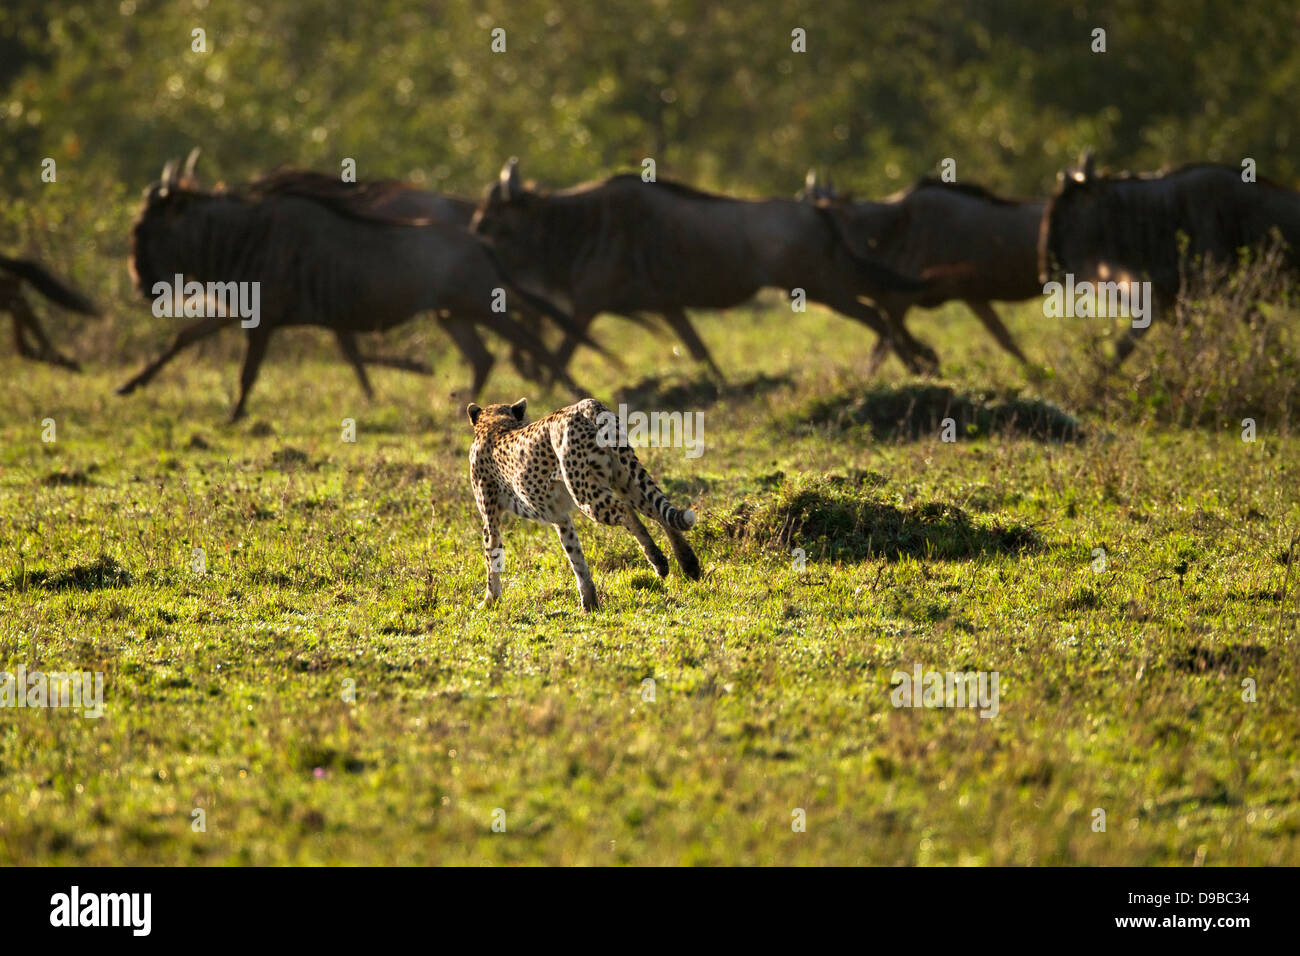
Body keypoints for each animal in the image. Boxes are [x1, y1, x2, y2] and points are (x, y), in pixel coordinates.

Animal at [466, 397, 701, 612]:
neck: (496, 423)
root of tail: (585, 405)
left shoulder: (490, 518)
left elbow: (491, 557)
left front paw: (489, 601)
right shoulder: (560, 517)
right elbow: (575, 556)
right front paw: (589, 602)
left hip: (584, 492)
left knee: (626, 511)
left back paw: (658, 561)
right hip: (626, 479)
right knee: (656, 510)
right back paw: (688, 563)